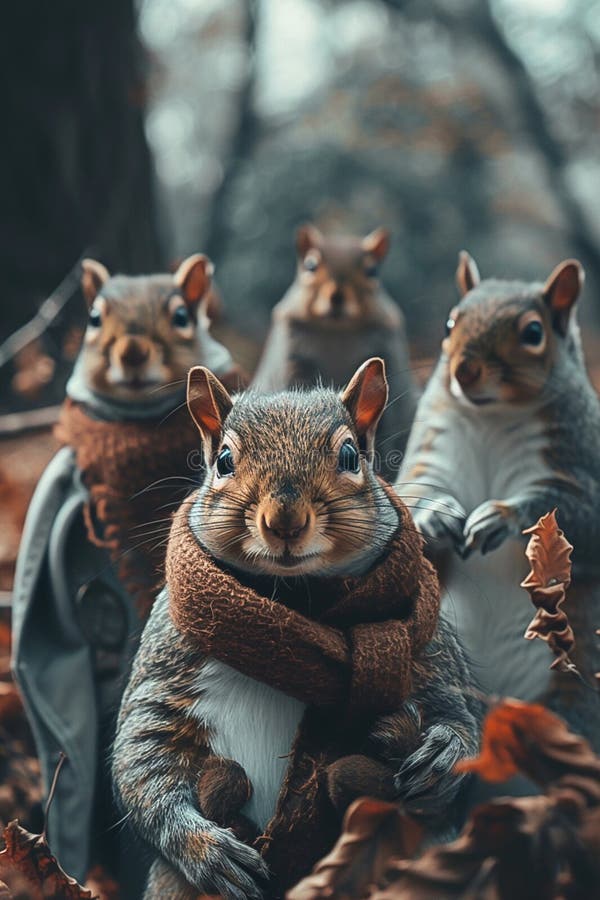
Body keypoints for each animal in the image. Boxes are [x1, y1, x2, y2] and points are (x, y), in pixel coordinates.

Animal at [112, 358, 481, 900]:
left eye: (350, 455)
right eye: (223, 461)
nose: (284, 520)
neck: (293, 599)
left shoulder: (431, 648)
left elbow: (461, 711)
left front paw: (443, 752)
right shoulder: (170, 654)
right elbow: (143, 752)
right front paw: (206, 849)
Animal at [396, 251, 600, 752]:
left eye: (533, 332)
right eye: (450, 323)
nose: (464, 370)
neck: (489, 415)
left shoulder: (580, 461)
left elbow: (584, 520)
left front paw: (500, 516)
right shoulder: (432, 450)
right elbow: (414, 491)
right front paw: (438, 514)